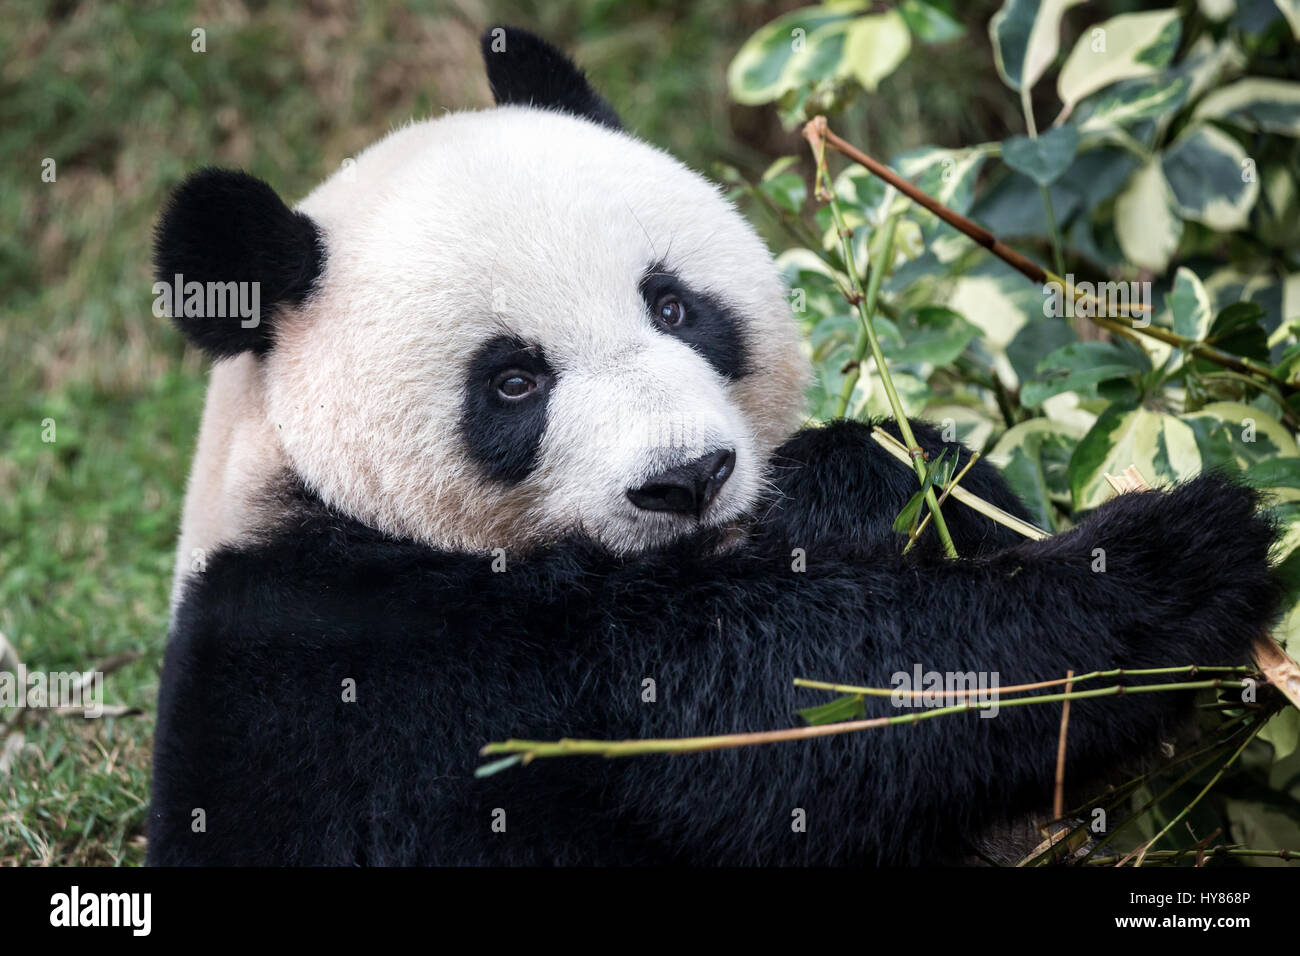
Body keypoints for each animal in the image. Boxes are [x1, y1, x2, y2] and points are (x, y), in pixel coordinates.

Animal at [148, 26, 1281, 866]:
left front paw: (863, 478)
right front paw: (1173, 560)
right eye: (513, 382)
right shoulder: (396, 661)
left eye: (673, 305)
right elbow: (786, 713)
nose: (687, 478)